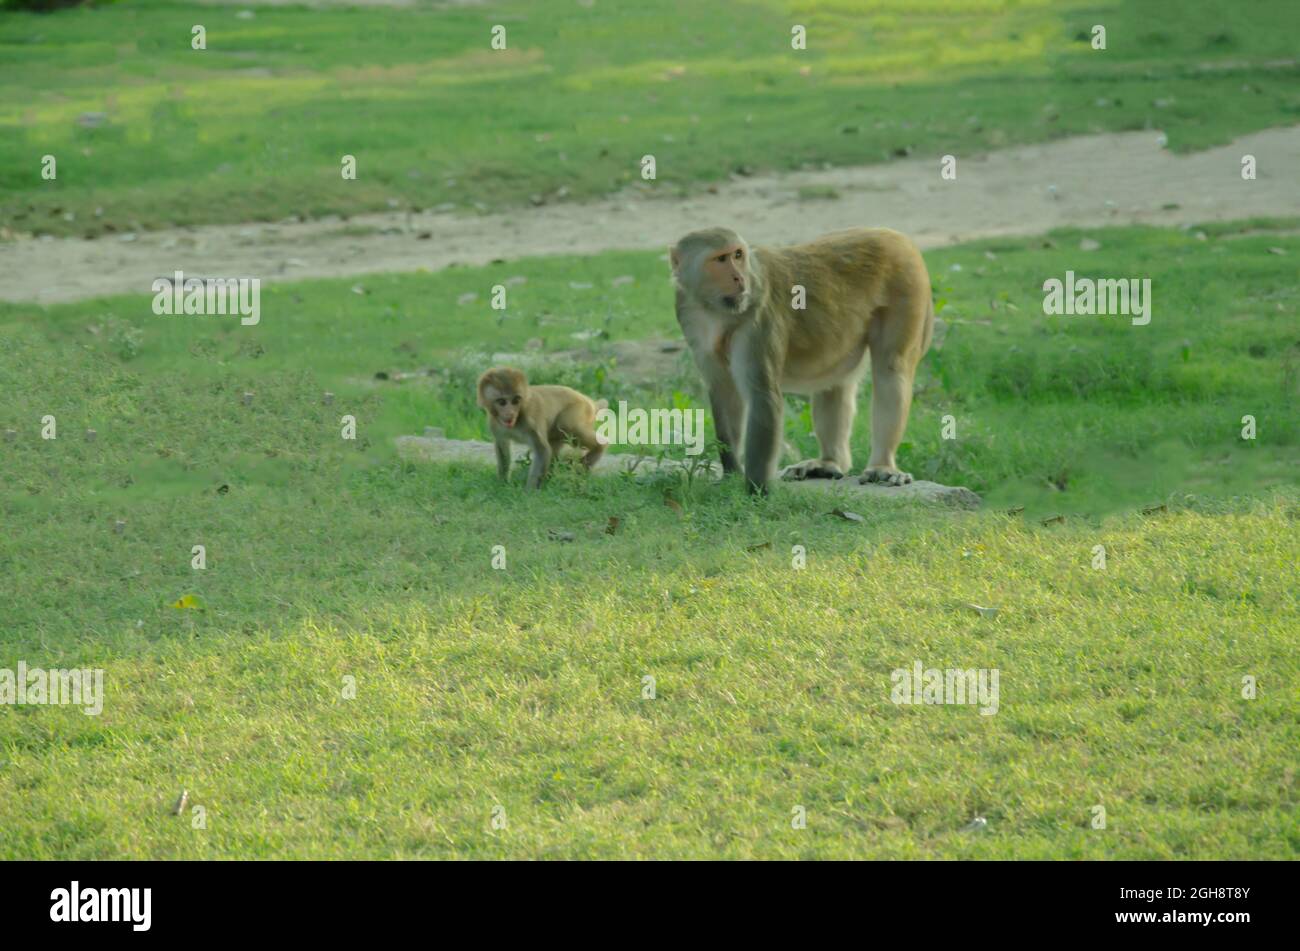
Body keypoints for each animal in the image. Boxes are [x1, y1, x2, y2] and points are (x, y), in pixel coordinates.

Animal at [476, 367, 607, 489]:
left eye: (516, 401)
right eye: (502, 402)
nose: (510, 413)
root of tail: (589, 401)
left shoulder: (530, 421)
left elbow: (542, 450)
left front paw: (530, 491)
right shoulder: (494, 424)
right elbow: (502, 447)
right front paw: (502, 484)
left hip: (581, 409)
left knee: (565, 425)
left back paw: (598, 449)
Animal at [670, 226, 934, 495]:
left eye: (737, 255)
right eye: (721, 259)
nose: (738, 278)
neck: (715, 308)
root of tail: (893, 234)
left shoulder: (757, 320)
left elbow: (761, 398)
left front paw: (756, 492)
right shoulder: (687, 310)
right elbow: (724, 391)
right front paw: (731, 473)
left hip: (907, 283)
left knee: (891, 368)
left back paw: (882, 465)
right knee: (834, 379)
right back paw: (829, 462)